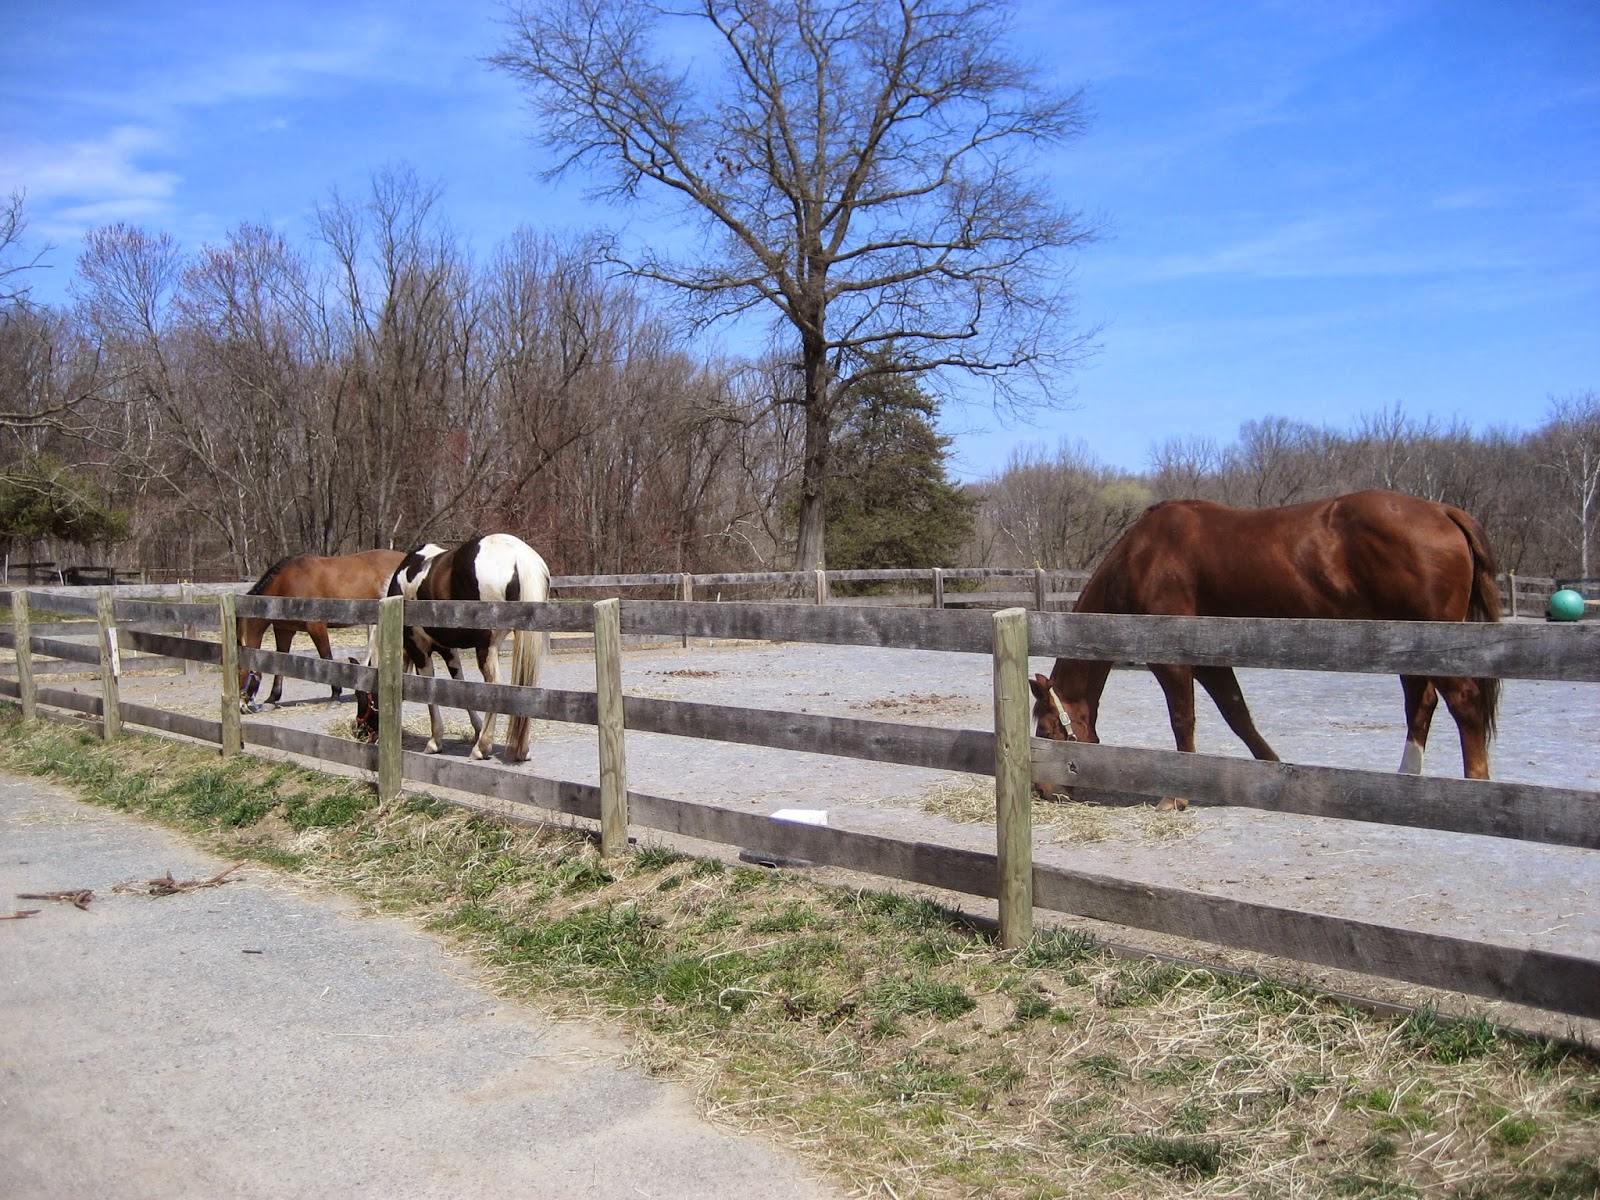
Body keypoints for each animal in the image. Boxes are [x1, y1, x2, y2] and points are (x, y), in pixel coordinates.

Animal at [239, 549, 406, 710]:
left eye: (240, 671)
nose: (241, 706)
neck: (286, 583)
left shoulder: (316, 627)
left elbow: (326, 657)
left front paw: (335, 696)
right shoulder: (283, 631)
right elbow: (280, 662)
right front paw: (272, 699)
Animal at [354, 533, 548, 762]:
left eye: (360, 696)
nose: (360, 731)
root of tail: (518, 555)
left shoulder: (419, 649)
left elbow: (429, 691)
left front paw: (435, 741)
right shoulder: (448, 650)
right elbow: (460, 685)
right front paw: (476, 729)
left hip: (487, 648)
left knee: (495, 686)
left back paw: (482, 748)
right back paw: (522, 749)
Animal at [1029, 489, 1502, 810]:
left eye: (1048, 730)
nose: (1043, 789)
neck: (1144, 557)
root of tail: (1443, 511)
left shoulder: (1172, 661)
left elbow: (1183, 720)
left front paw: (1175, 795)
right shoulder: (1210, 662)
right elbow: (1237, 715)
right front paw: (1270, 769)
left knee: (1463, 701)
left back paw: (1476, 785)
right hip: (1409, 644)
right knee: (1421, 702)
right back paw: (1408, 781)